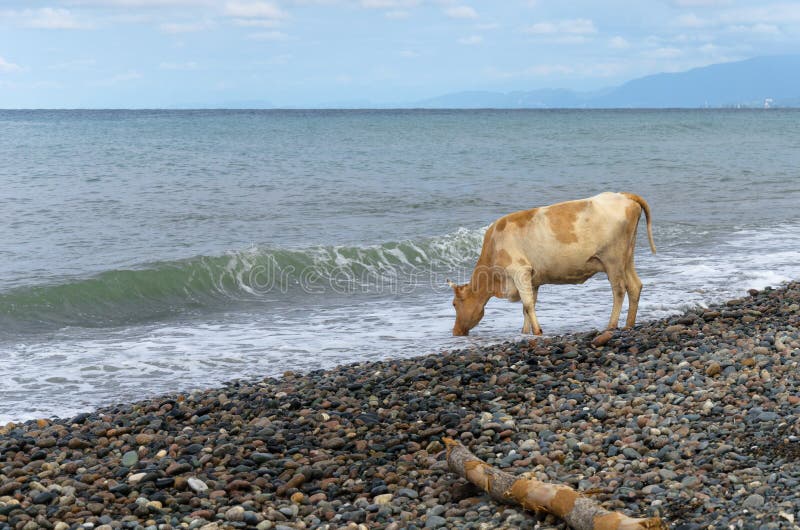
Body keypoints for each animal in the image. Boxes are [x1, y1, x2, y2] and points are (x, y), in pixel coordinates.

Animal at [448, 192, 656, 336]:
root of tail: (623, 195)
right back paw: (629, 324)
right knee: (635, 286)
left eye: (454, 304)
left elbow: (527, 304)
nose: (455, 332)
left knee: (619, 290)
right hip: (626, 258)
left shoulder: (519, 270)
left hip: (612, 259)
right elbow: (528, 305)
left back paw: (612, 325)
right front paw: (525, 332)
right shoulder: (532, 279)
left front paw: (537, 331)